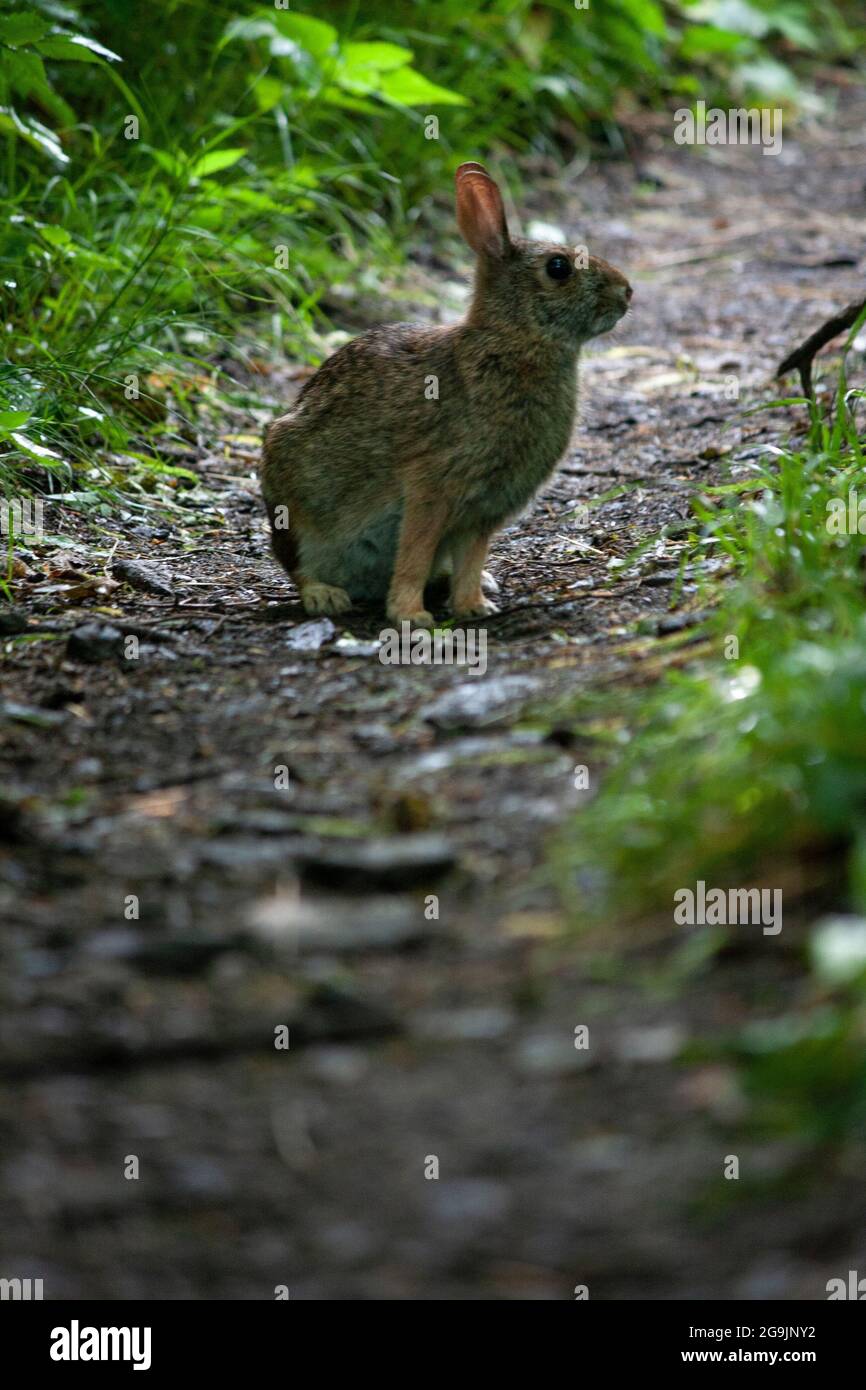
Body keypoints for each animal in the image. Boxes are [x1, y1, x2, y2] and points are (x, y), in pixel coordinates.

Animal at [261, 161, 632, 628]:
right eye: (559, 267)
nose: (626, 292)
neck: (513, 341)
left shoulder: (482, 511)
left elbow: (471, 558)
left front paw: (474, 606)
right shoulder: (431, 488)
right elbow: (414, 553)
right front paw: (411, 616)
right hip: (295, 504)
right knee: (298, 564)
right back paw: (325, 597)